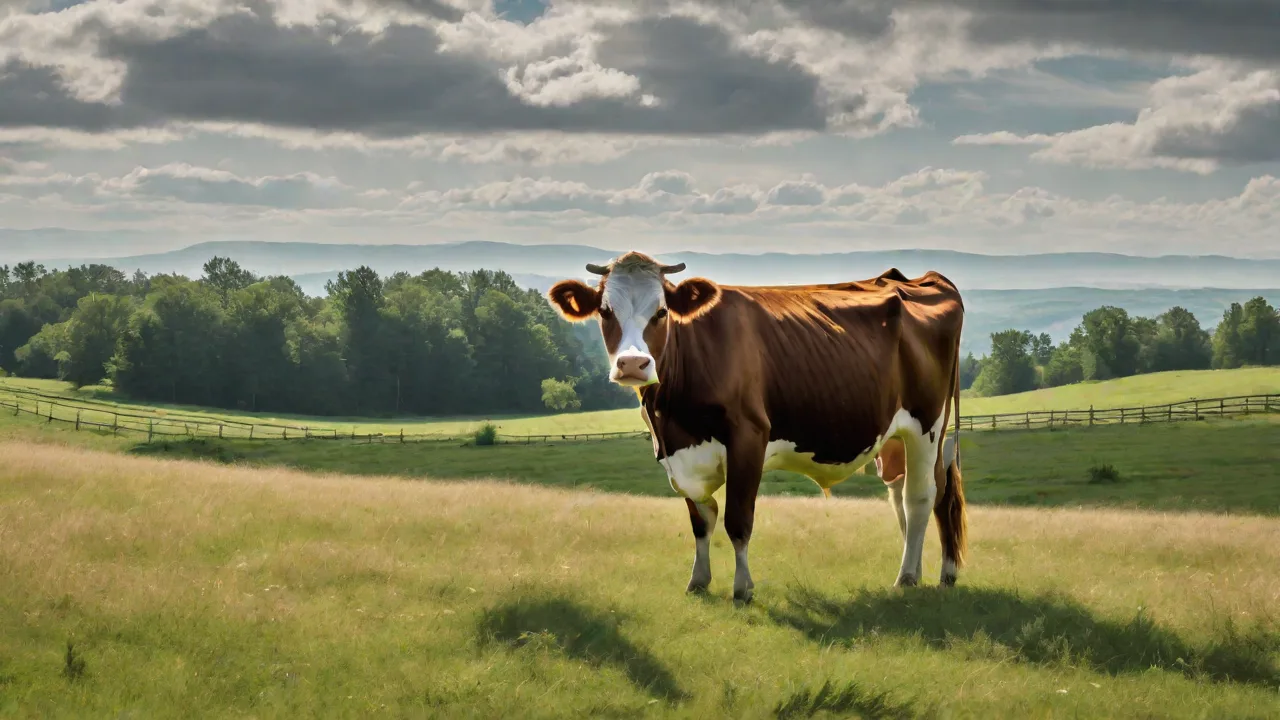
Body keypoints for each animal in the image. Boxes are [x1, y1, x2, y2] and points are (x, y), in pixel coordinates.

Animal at [546, 251, 967, 602]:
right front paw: (698, 581)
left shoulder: (749, 436)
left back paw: (909, 577)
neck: (673, 419)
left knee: (921, 496)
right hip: (901, 435)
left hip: (929, 422)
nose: (633, 364)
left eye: (661, 312)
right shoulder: (677, 452)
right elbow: (701, 519)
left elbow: (737, 519)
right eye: (605, 312)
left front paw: (743, 588)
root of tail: (919, 279)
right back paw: (935, 573)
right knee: (918, 492)